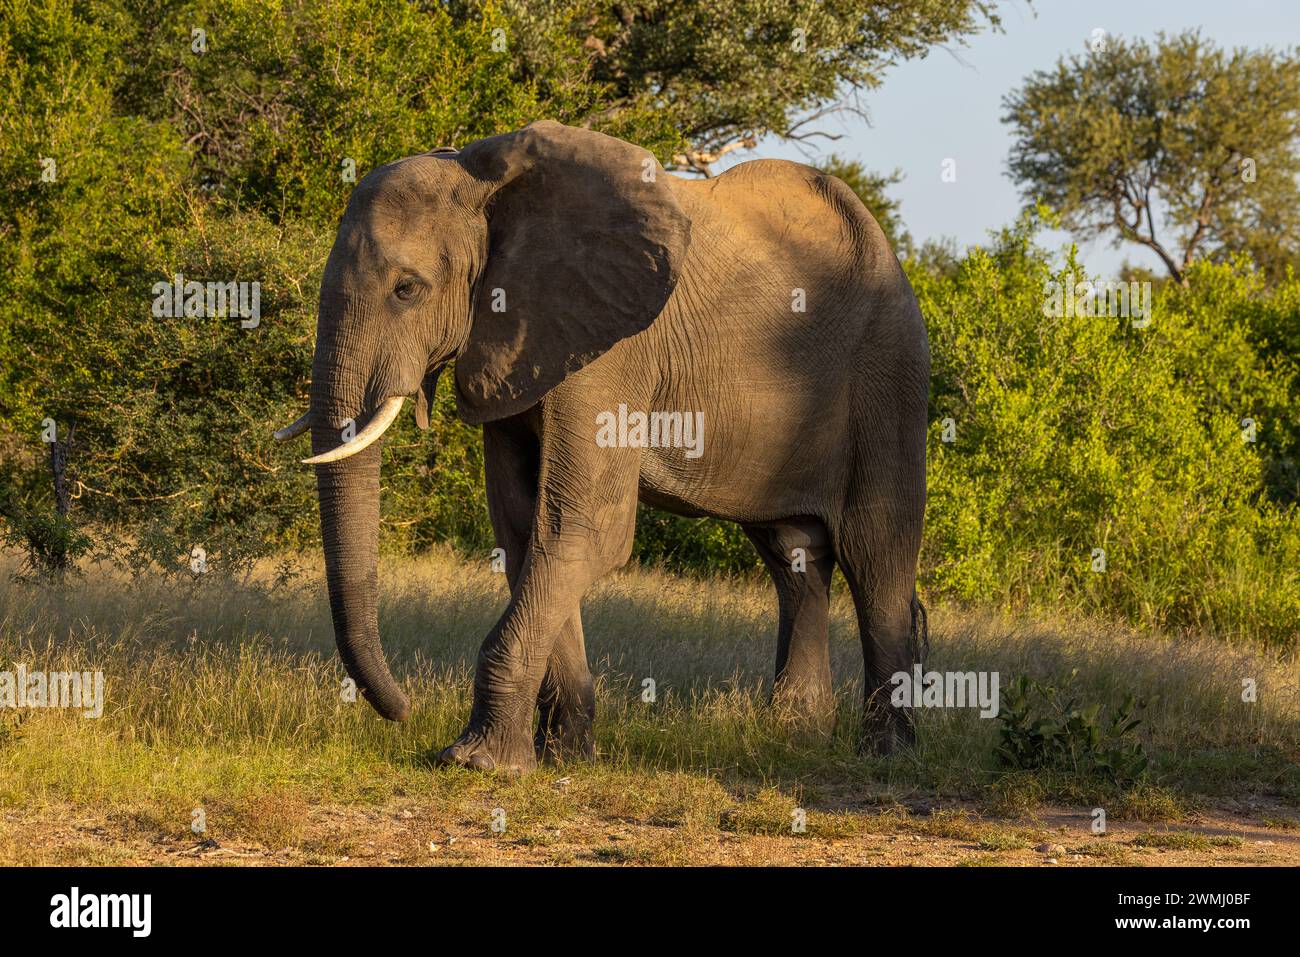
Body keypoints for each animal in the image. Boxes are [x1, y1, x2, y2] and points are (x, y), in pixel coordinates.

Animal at [274, 120, 929, 773]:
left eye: (407, 289)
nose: (403, 710)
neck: (488, 183)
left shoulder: (610, 351)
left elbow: (581, 528)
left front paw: (475, 761)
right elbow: (524, 530)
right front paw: (562, 757)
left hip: (889, 372)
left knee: (875, 555)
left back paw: (886, 755)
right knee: (793, 556)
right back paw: (797, 738)